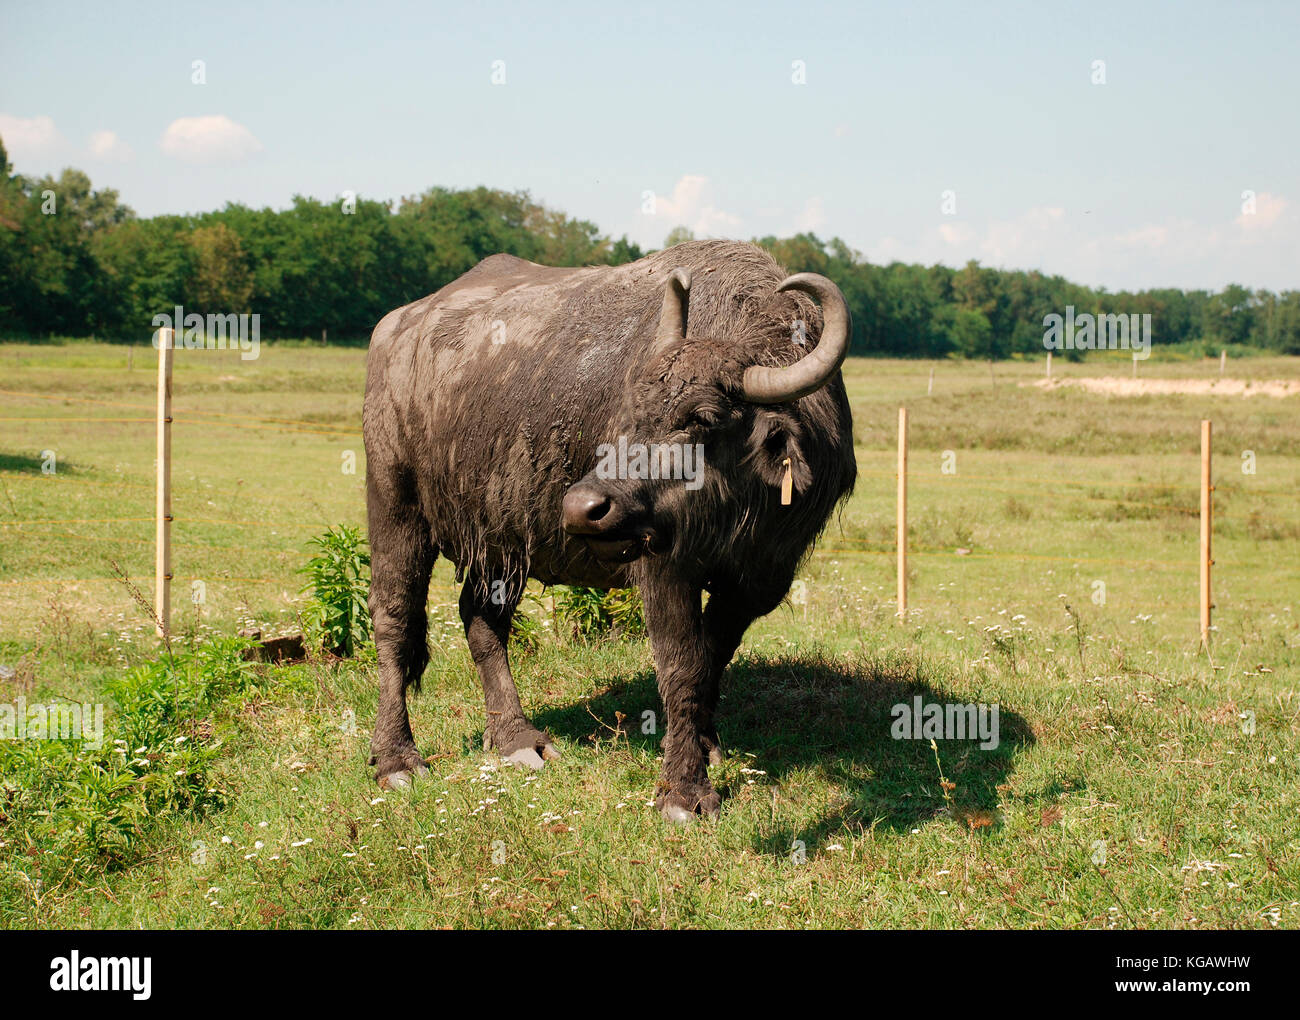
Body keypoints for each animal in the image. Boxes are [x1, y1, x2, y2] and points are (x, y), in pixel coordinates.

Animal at [363, 240, 855, 821]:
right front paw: (684, 790)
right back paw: (397, 758)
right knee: (394, 616)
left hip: (502, 537)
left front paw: (704, 741)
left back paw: (515, 739)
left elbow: (713, 653)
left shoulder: (764, 576)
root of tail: (396, 327)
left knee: (482, 619)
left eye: (702, 418)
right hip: (393, 500)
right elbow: (682, 664)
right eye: (627, 413)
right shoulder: (664, 564)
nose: (581, 507)